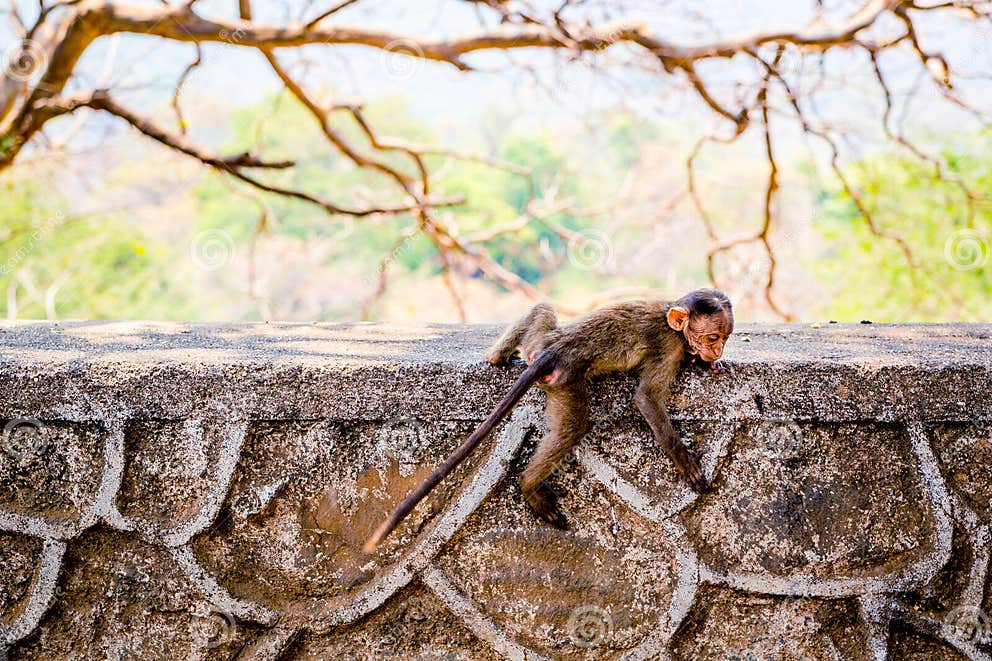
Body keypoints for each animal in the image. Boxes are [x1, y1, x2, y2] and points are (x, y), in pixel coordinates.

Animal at [363, 288, 733, 553]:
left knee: (542, 310)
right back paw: (529, 485)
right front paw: (684, 459)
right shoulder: (669, 347)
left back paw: (495, 357)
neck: (675, 321)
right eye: (713, 338)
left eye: (725, 338)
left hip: (539, 342)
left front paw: (708, 365)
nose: (717, 352)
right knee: (574, 425)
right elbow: (647, 398)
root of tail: (553, 350)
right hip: (565, 379)